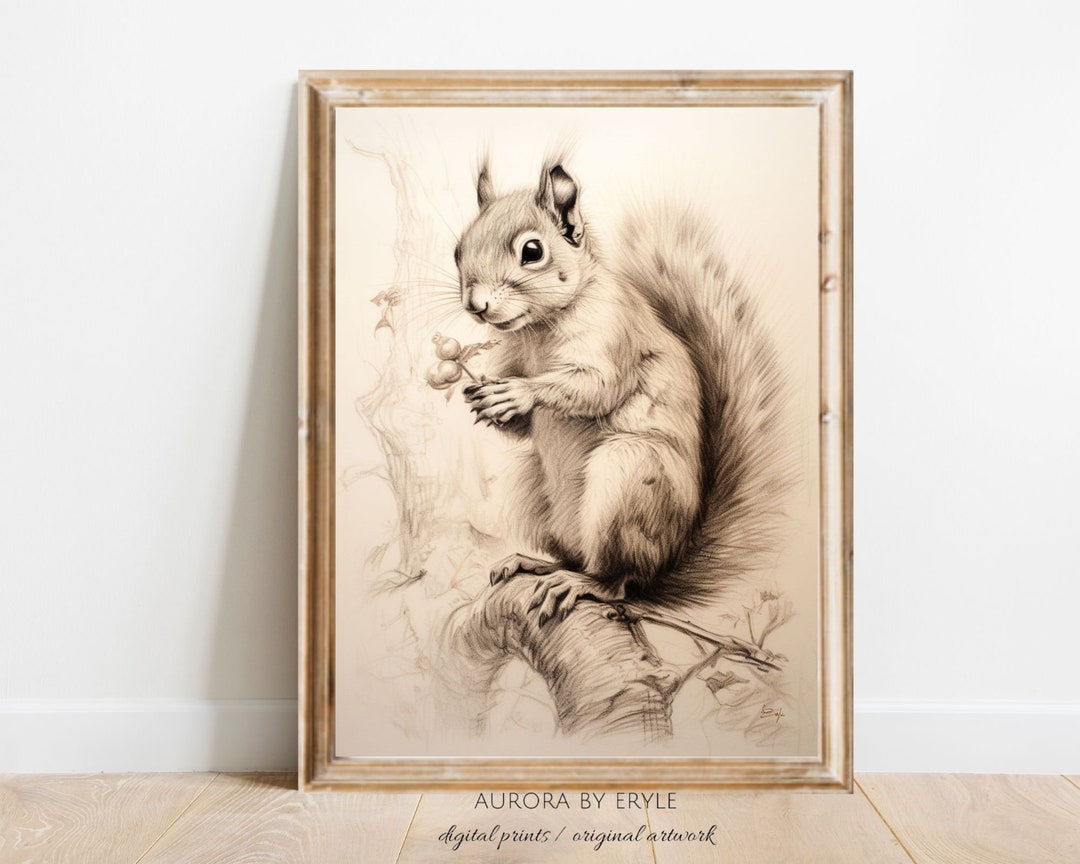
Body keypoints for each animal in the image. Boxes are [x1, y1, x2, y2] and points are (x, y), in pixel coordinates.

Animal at [458, 157, 790, 625]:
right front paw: (488, 402)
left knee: (617, 581)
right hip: (533, 488)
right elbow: (522, 428)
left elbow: (597, 387)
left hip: (628, 475)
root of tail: (669, 561)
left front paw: (516, 394)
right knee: (574, 557)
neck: (538, 330)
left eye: (532, 251)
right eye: (458, 250)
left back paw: (578, 583)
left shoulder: (615, 335)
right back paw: (534, 562)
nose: (477, 306)